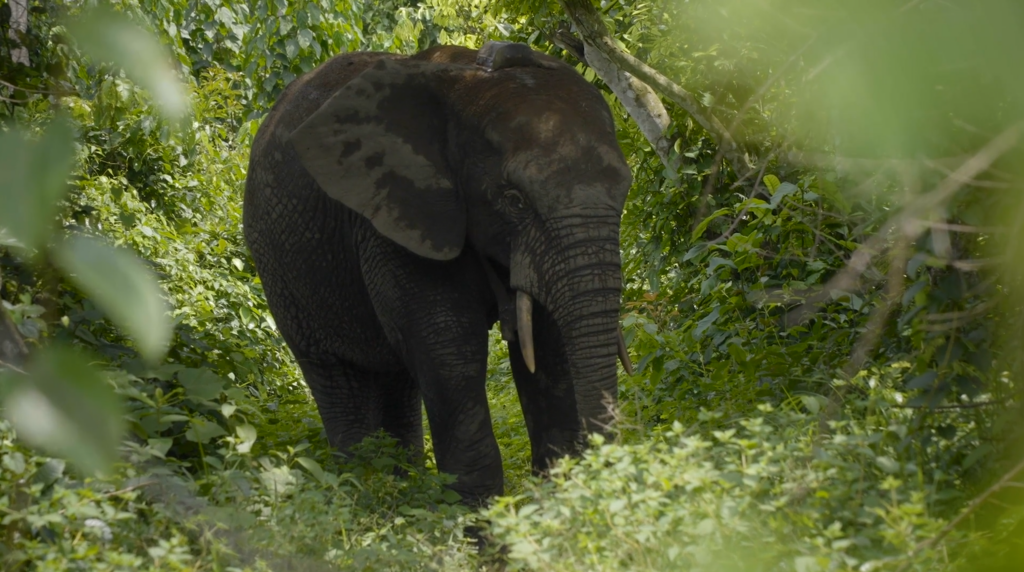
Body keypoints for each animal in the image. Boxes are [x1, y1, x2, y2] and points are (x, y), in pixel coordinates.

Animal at [243, 41, 633, 504]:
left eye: (625, 191)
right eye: (514, 200)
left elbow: (547, 349)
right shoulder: (394, 219)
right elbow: (449, 351)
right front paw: (479, 522)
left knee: (395, 380)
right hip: (284, 269)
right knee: (339, 378)